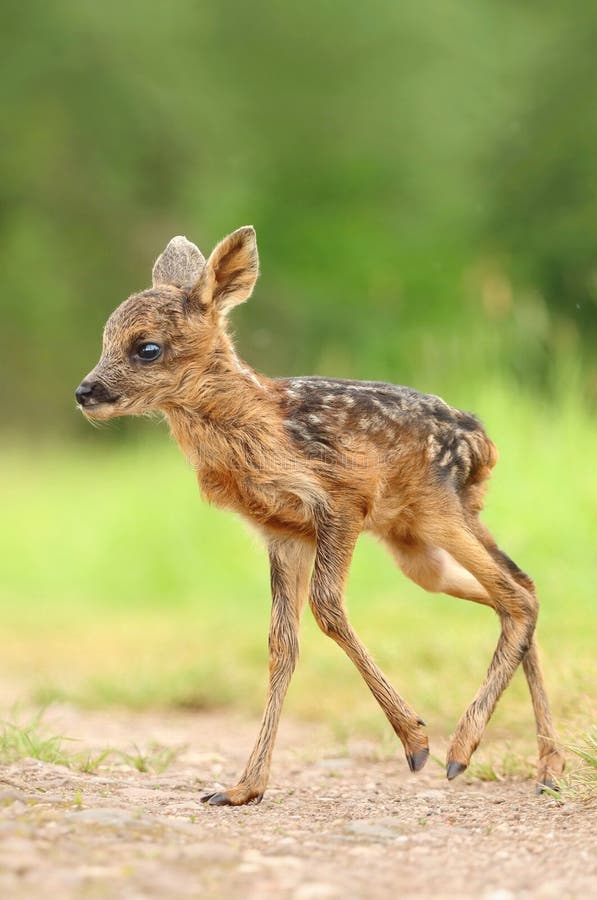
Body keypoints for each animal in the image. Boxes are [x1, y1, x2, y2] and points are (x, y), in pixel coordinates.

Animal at [75, 225, 564, 805]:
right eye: (105, 338)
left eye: (146, 348)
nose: (85, 392)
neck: (261, 427)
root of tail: (485, 444)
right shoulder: (282, 533)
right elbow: (281, 646)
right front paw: (242, 788)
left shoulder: (342, 499)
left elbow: (327, 608)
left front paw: (415, 741)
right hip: (418, 546)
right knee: (519, 589)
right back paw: (546, 766)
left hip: (436, 508)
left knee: (516, 594)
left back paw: (460, 752)